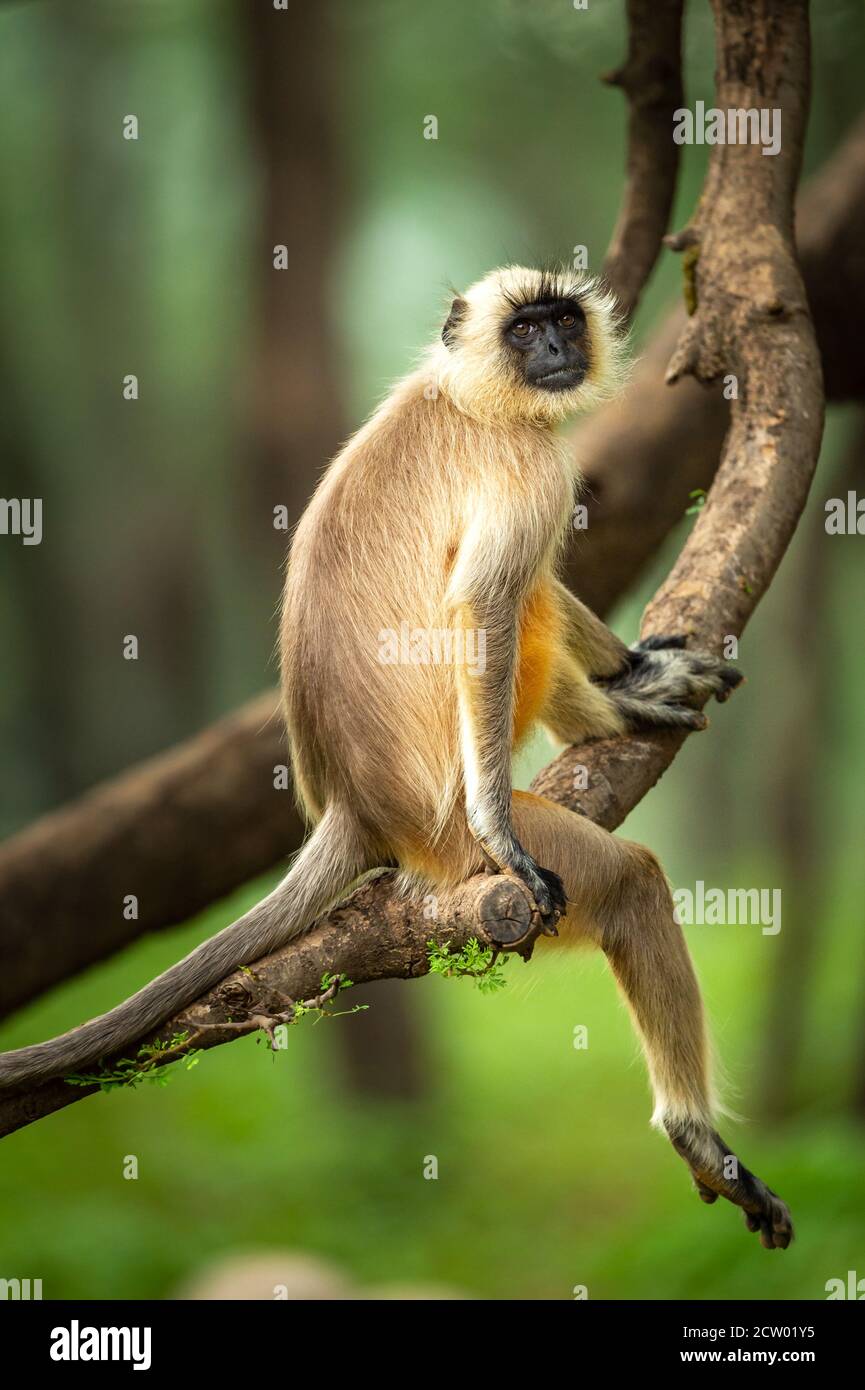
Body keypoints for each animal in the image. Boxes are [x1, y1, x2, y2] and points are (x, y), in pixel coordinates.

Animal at [0, 265, 792, 1249]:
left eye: (561, 321)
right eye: (524, 331)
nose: (555, 349)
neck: (463, 394)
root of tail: (356, 806)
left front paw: (639, 669)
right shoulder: (525, 466)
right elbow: (483, 610)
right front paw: (525, 806)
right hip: (451, 842)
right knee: (622, 865)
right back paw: (694, 1134)